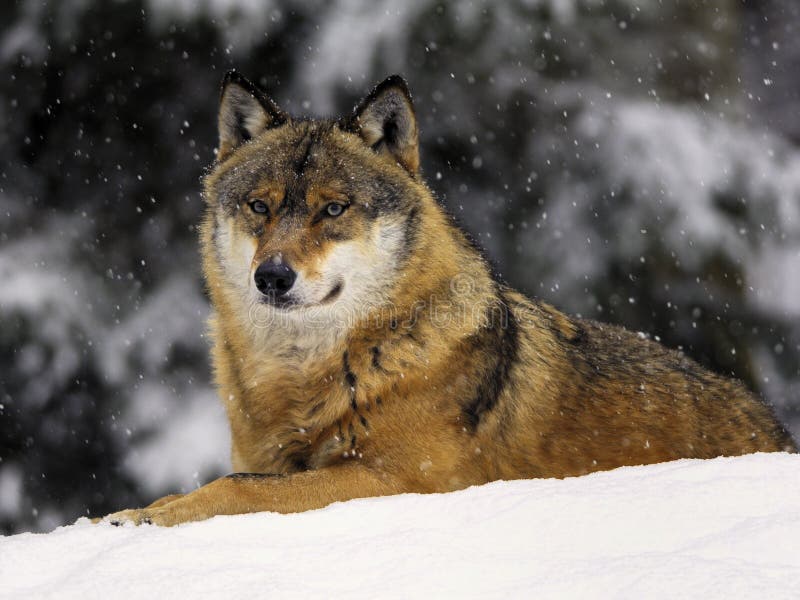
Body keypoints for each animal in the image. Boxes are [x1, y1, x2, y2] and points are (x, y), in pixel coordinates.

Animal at [104, 72, 795, 526]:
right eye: (259, 207)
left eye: (334, 209)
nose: (271, 277)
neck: (311, 376)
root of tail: (776, 428)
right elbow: (232, 477)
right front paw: (139, 510)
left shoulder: (396, 479)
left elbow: (240, 488)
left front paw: (145, 518)